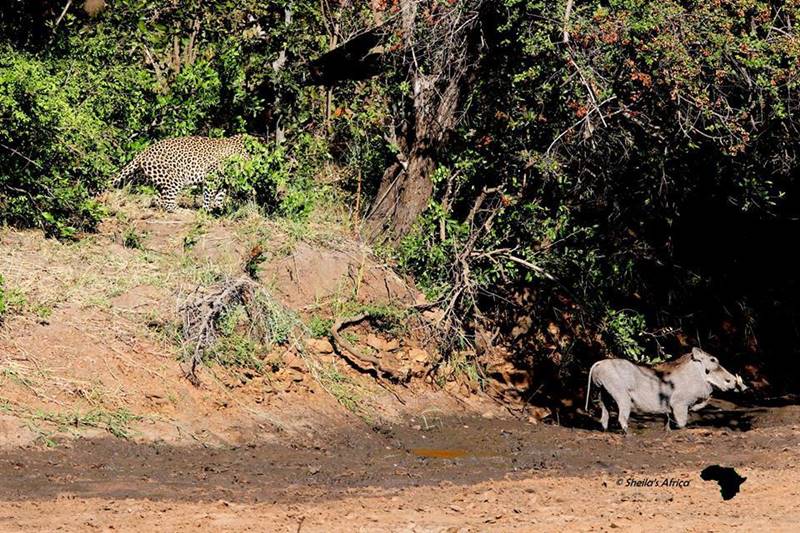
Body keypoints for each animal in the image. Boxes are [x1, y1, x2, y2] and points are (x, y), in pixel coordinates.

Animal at [113, 134, 250, 211]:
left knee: (157, 198)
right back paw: (181, 210)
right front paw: (206, 211)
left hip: (162, 179)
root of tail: (143, 152)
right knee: (167, 202)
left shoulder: (224, 179)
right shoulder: (212, 175)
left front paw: (220, 209)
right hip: (175, 179)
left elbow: (220, 195)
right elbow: (208, 195)